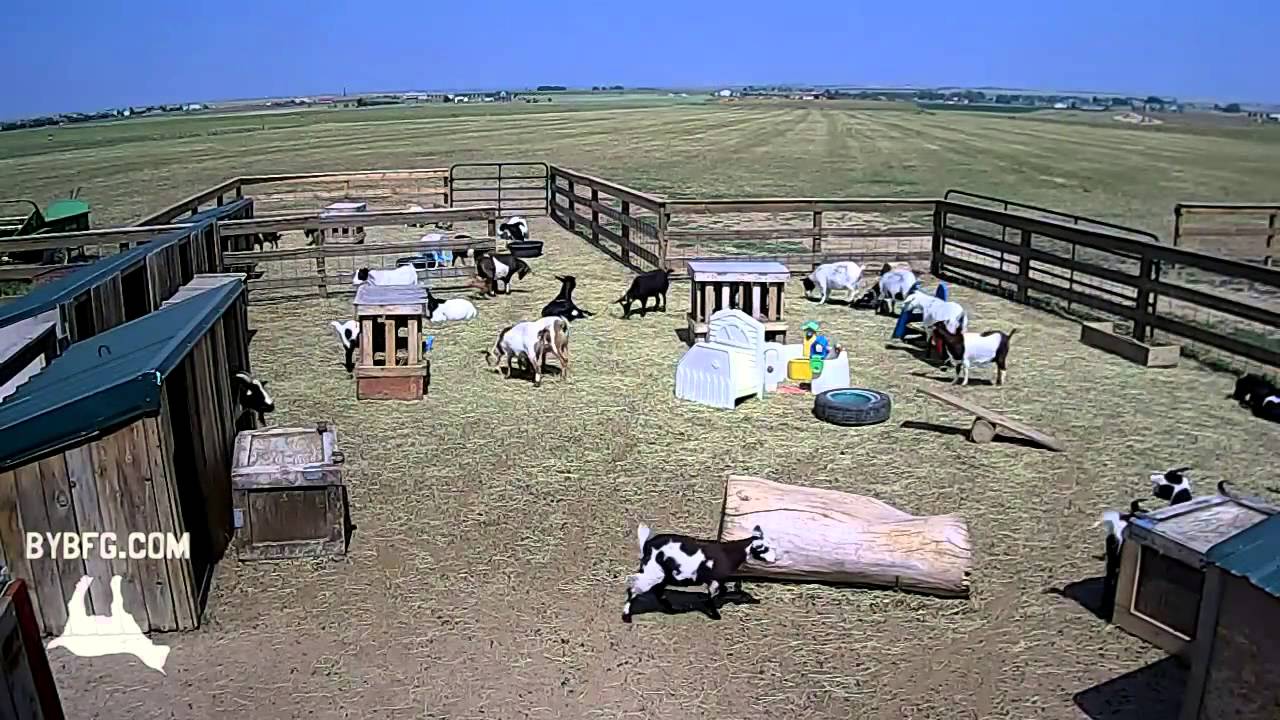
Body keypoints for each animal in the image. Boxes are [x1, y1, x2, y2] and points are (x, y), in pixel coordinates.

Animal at [622, 523, 777, 623]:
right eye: (764, 548)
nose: (775, 559)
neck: (729, 554)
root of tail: (647, 545)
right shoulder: (715, 580)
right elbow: (713, 597)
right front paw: (715, 615)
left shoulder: (716, 581)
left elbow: (722, 592)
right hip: (653, 573)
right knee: (633, 589)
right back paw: (626, 616)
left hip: (662, 574)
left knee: (657, 591)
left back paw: (671, 608)